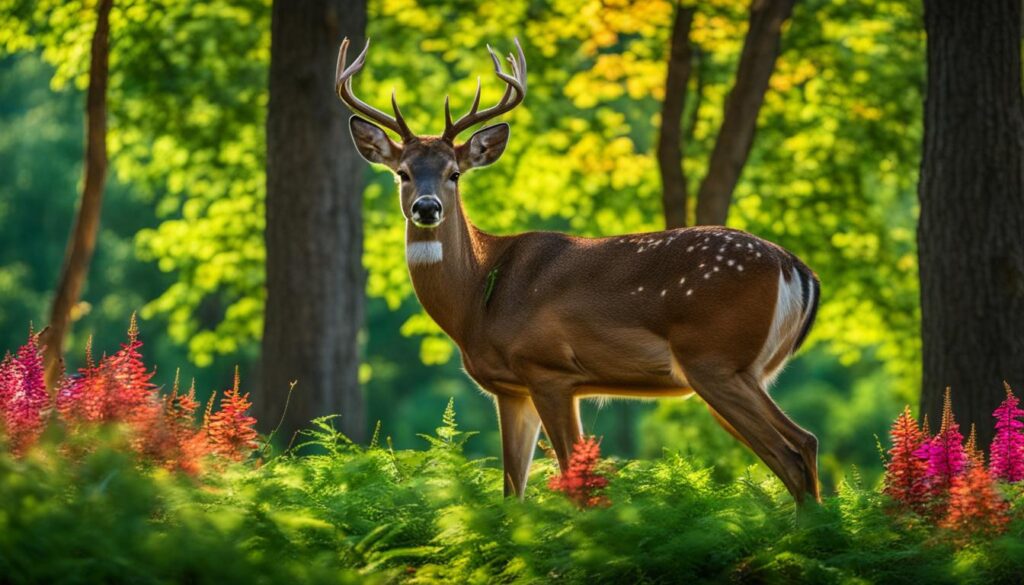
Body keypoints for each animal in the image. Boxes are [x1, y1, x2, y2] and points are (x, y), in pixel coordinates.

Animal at [335, 37, 822, 503]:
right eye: (402, 172)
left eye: (454, 173)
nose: (427, 207)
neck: (477, 298)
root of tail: (795, 267)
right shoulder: (511, 389)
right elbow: (512, 490)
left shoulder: (549, 370)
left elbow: (576, 482)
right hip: (746, 370)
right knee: (806, 443)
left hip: (715, 359)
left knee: (793, 451)